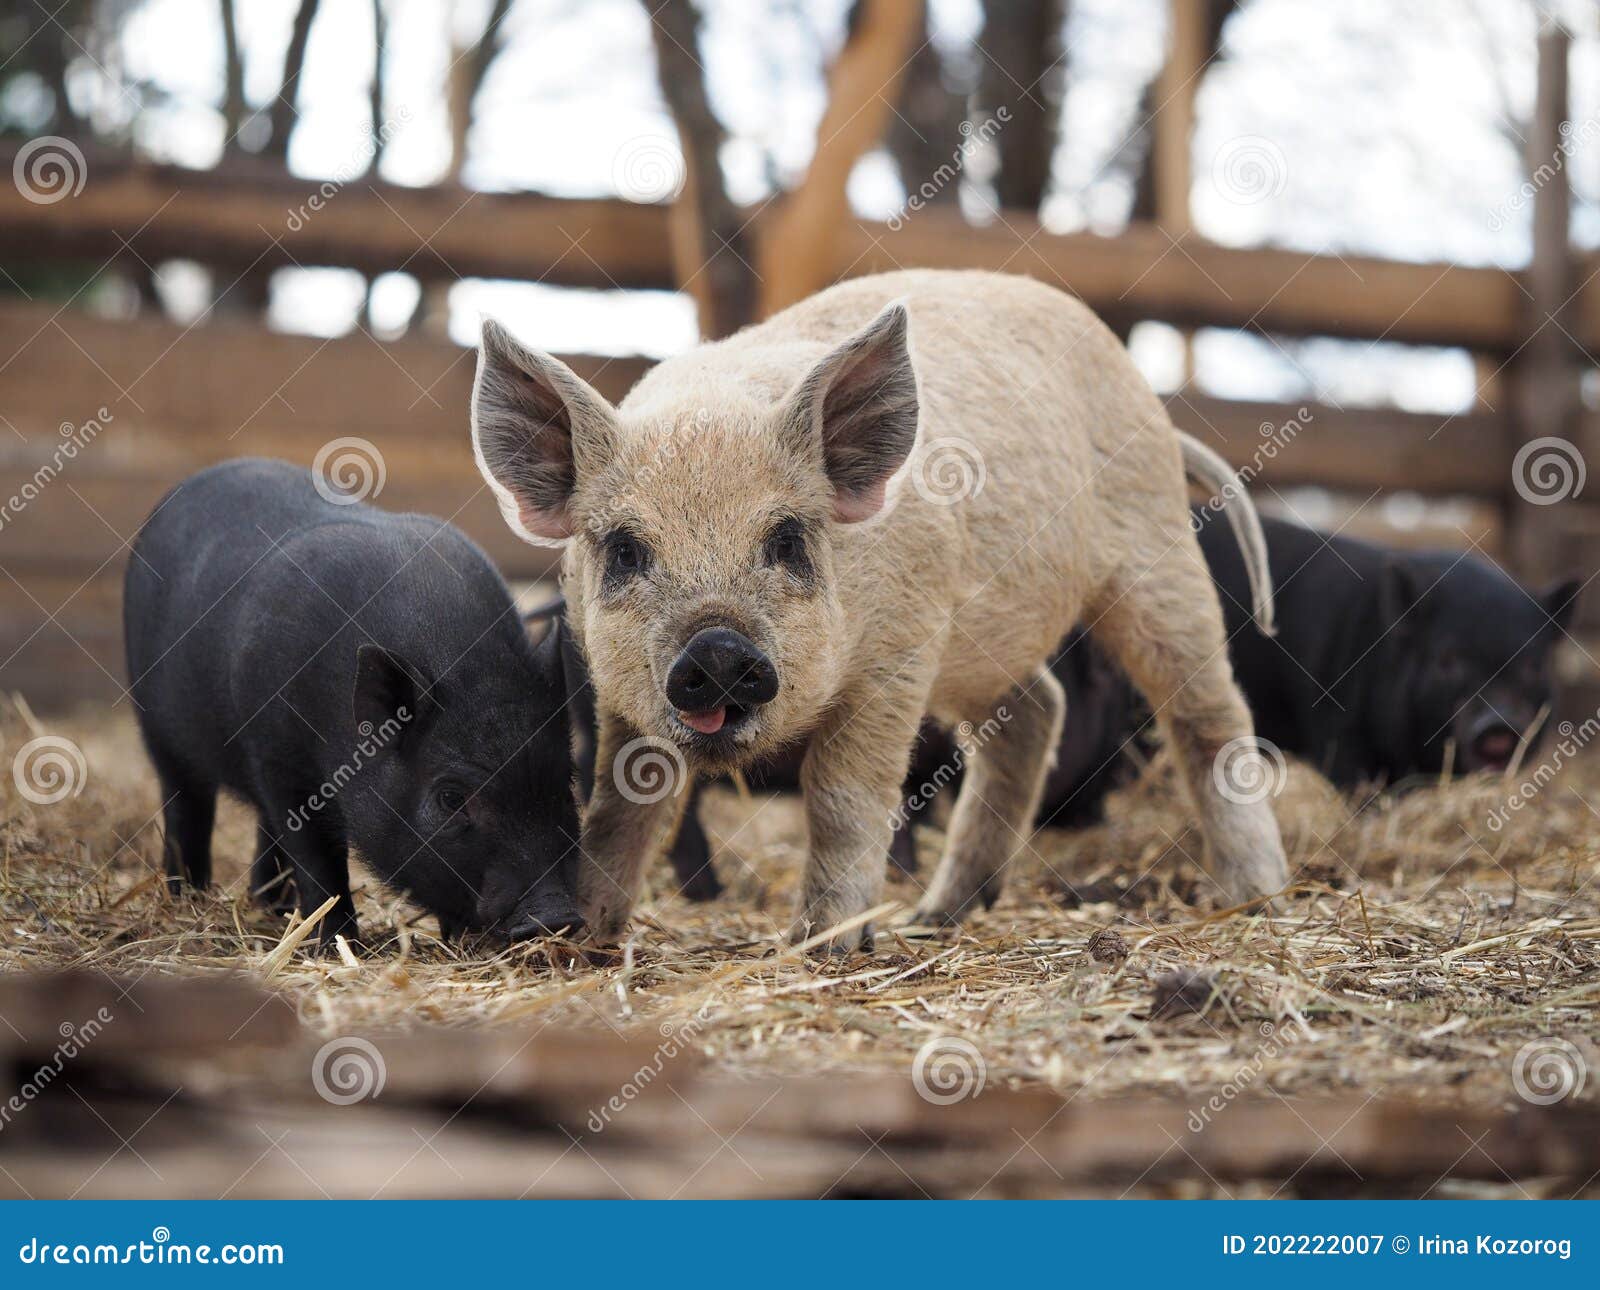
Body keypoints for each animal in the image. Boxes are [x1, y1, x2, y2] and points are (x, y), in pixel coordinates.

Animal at [124, 458, 582, 948]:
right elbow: (319, 861)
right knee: (185, 806)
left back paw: (273, 908)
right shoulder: (283, 767)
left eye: (567, 779)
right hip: (159, 732)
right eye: (451, 798)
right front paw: (336, 944)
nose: (556, 914)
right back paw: (187, 898)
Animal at [472, 269, 1288, 951]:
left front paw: (822, 946)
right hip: (985, 646)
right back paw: (937, 916)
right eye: (625, 550)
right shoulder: (617, 693)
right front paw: (586, 935)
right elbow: (619, 803)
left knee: (1210, 714)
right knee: (1033, 713)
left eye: (787, 538)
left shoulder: (902, 649)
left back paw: (1257, 895)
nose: (716, 648)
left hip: (1157, 558)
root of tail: (1155, 408)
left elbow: (843, 798)